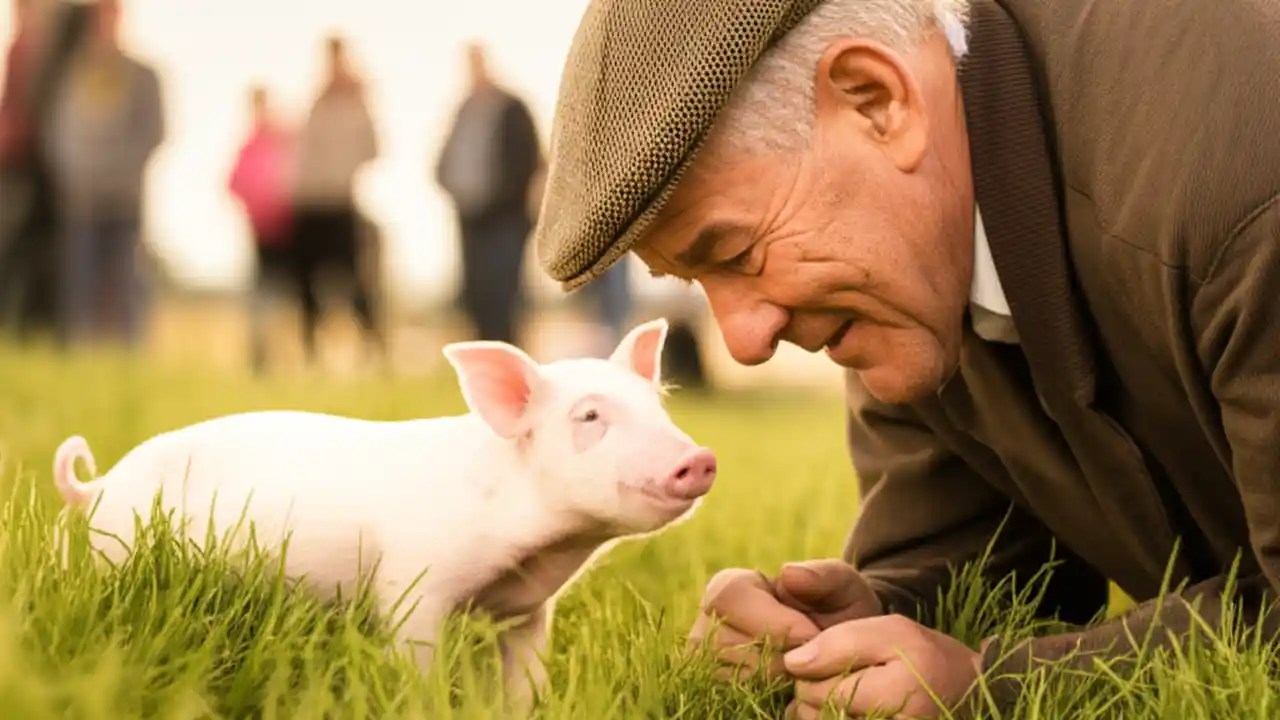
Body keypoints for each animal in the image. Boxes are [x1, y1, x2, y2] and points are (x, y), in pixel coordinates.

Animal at [50, 318, 716, 707]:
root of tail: (99, 483)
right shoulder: (412, 583)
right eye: (590, 416)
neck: (539, 549)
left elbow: (524, 681)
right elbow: (414, 658)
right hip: (115, 553)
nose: (701, 459)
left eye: (657, 407)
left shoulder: (528, 613)